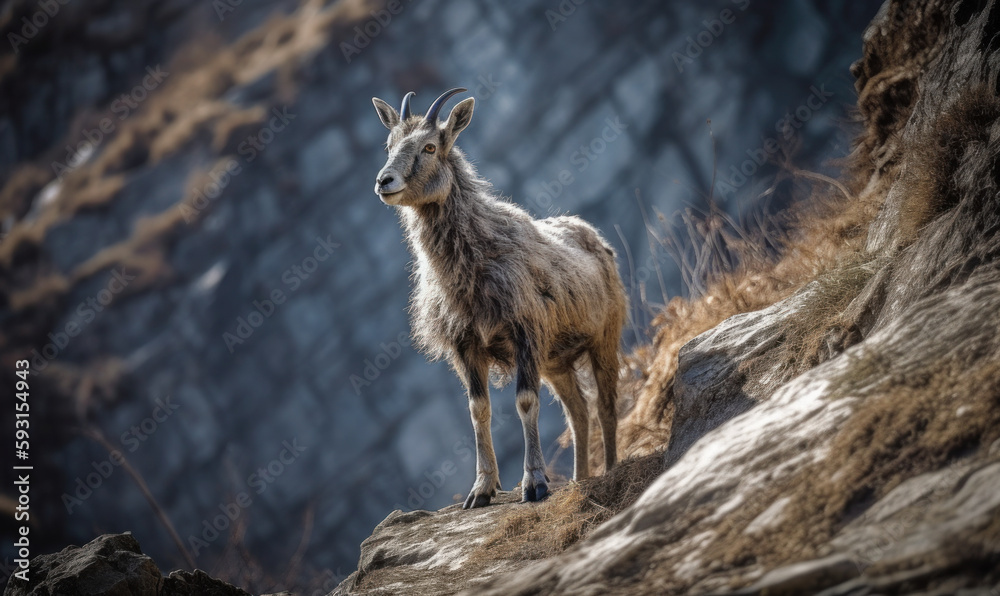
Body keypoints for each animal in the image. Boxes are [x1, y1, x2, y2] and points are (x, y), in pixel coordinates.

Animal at [371, 88, 627, 508]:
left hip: (604, 336)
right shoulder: (466, 344)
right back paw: (580, 479)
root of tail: (591, 233)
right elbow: (478, 409)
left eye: (429, 146)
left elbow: (525, 402)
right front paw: (482, 489)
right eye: (389, 145)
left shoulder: (525, 332)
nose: (383, 181)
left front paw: (534, 483)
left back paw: (609, 468)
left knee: (605, 403)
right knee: (578, 410)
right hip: (555, 360)